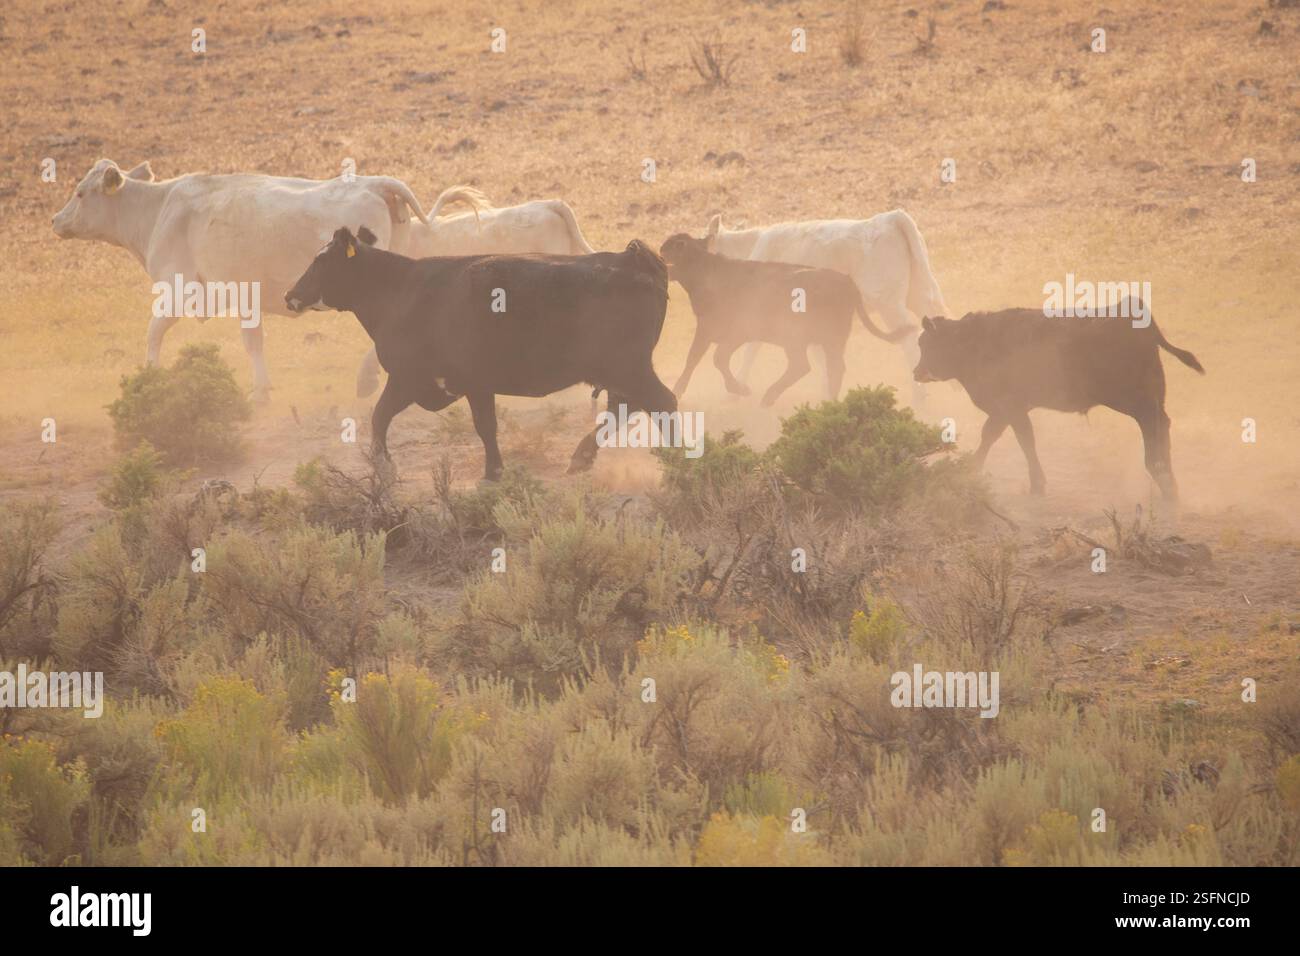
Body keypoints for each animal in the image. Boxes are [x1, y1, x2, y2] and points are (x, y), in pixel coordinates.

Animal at [51, 159, 433, 402]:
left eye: (81, 192)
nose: (56, 220)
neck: (159, 210)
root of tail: (375, 182)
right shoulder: (245, 297)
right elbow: (254, 342)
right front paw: (261, 390)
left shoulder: (179, 288)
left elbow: (154, 331)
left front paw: (150, 379)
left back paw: (367, 378)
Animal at [283, 227, 675, 479]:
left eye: (321, 261)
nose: (290, 295)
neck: (400, 290)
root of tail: (630, 259)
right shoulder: (469, 384)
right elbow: (486, 426)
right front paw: (494, 469)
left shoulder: (410, 378)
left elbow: (380, 416)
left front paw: (384, 467)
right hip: (620, 371)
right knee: (625, 407)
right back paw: (581, 457)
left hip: (629, 368)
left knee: (661, 402)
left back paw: (677, 460)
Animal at [658, 233, 911, 406]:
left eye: (671, 250)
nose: (660, 249)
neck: (707, 272)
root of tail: (847, 282)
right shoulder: (719, 332)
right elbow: (704, 359)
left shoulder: (724, 331)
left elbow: (709, 359)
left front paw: (738, 389)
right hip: (824, 341)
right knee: (825, 367)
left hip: (802, 339)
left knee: (807, 366)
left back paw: (771, 397)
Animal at [704, 209, 946, 404]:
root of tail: (889, 218)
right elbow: (820, 357)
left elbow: (751, 350)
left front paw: (735, 391)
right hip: (922, 296)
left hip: (889, 305)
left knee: (909, 342)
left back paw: (919, 397)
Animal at [911, 302, 1204, 499]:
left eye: (926, 345)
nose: (917, 372)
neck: (973, 342)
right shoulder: (1009, 410)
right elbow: (999, 436)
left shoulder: (1010, 407)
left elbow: (1016, 440)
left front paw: (1033, 484)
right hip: (1148, 398)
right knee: (1161, 426)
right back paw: (1166, 478)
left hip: (1134, 399)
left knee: (1154, 426)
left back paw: (1161, 474)